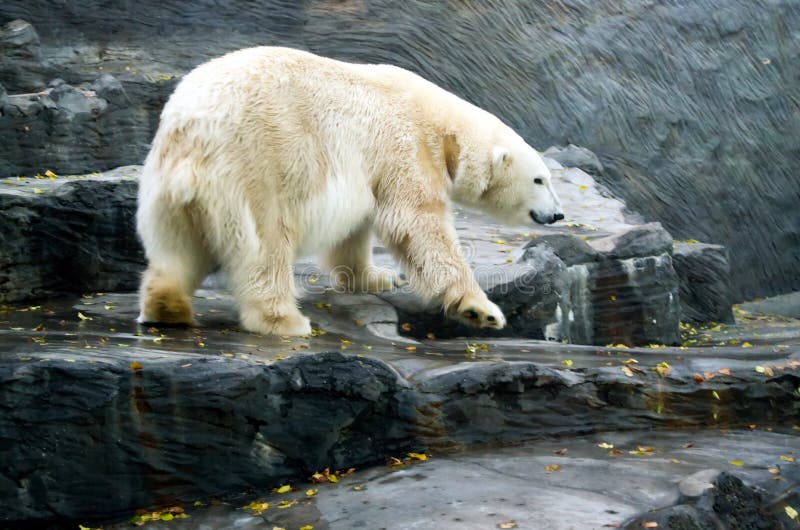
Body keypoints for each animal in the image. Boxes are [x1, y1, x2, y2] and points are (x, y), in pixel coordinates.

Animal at [136, 46, 564, 336]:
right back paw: (286, 320)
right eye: (540, 180)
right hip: (254, 171)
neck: (443, 131)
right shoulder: (405, 146)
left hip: (167, 188)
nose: (558, 213)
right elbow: (417, 223)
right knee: (265, 248)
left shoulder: (370, 169)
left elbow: (356, 230)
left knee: (176, 250)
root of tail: (195, 131)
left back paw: (167, 306)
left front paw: (377, 278)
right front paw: (481, 309)